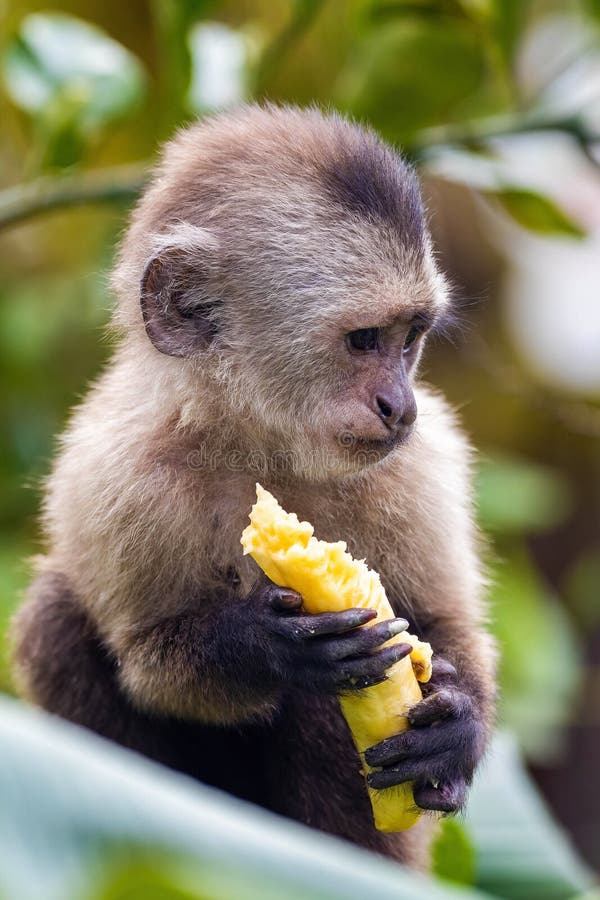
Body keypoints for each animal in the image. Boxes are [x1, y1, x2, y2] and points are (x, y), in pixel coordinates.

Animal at [11, 104, 496, 869]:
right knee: (56, 618)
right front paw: (269, 647)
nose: (400, 405)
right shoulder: (109, 478)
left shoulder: (423, 464)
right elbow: (149, 666)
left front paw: (457, 721)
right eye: (364, 341)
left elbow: (442, 624)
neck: (262, 445)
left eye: (410, 337)